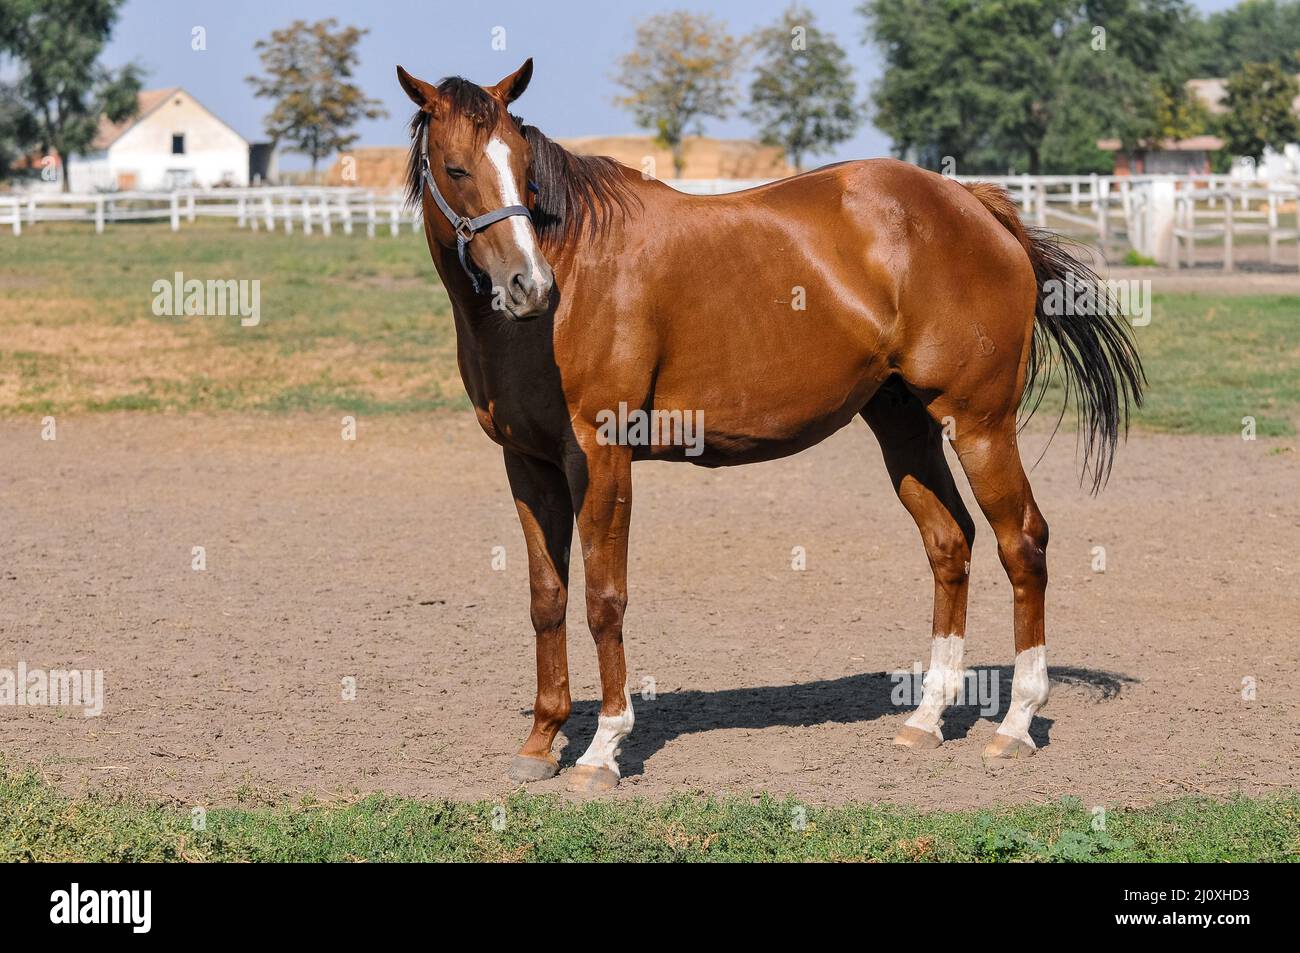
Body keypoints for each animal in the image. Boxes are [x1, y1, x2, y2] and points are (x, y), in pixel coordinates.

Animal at [396, 59, 1143, 793]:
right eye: (456, 168)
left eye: (525, 167)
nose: (530, 285)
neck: (575, 273)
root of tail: (976, 205)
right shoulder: (528, 464)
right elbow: (547, 597)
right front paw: (541, 741)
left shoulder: (601, 456)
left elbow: (604, 598)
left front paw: (602, 749)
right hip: (905, 428)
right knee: (949, 544)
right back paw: (926, 717)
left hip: (980, 424)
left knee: (1023, 544)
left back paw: (1015, 724)